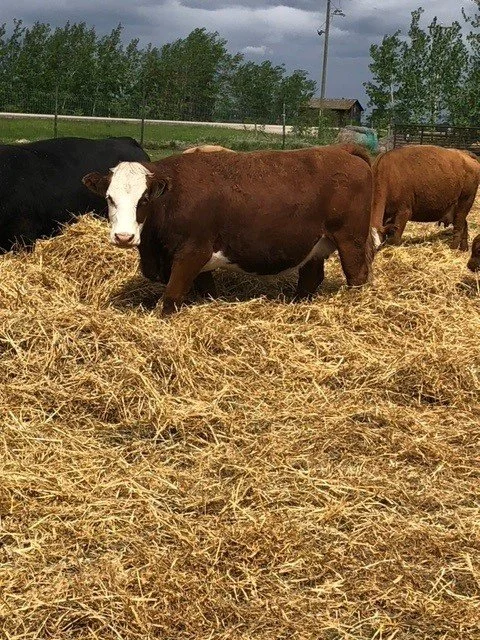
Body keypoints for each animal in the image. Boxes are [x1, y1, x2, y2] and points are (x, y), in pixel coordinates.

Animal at [83, 144, 374, 315]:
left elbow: (171, 297)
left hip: (351, 241)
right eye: (109, 198)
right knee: (311, 278)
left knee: (357, 276)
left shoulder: (192, 253)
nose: (124, 237)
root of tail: (341, 150)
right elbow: (207, 291)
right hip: (314, 247)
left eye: (143, 200)